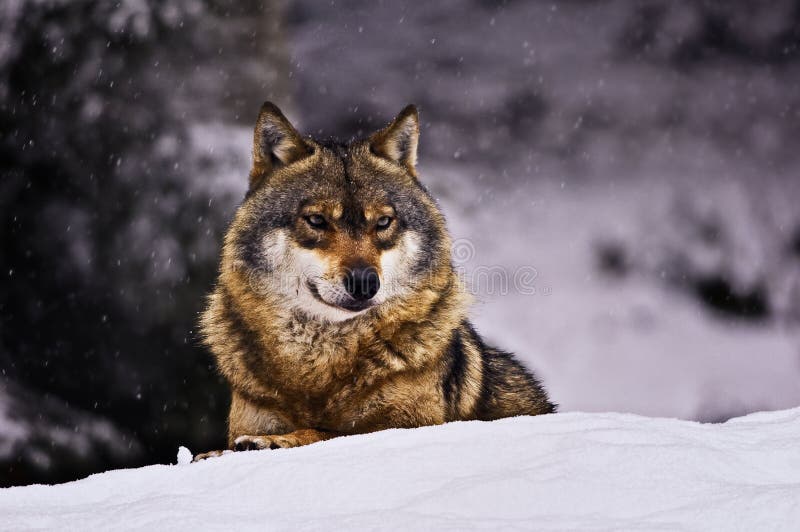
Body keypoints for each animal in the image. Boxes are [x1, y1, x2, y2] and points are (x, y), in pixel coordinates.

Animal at [194, 103, 554, 460]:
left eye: (382, 222)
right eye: (317, 220)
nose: (364, 282)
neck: (323, 357)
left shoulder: (407, 423)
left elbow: (328, 433)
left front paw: (274, 441)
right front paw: (222, 452)